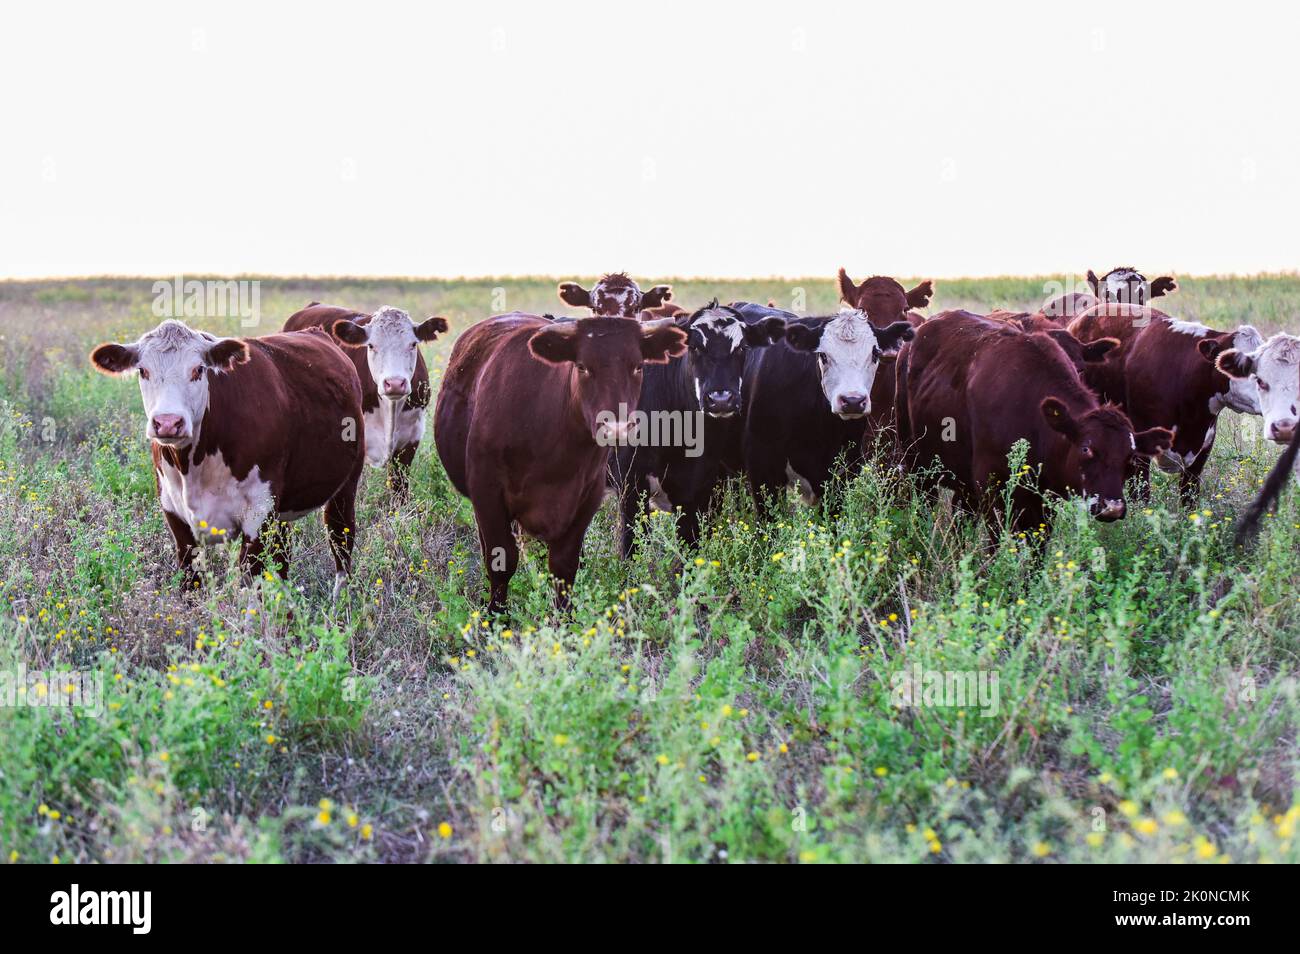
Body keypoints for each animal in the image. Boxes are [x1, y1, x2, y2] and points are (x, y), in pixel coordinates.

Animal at [89, 319, 365, 595]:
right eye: (143, 371)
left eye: (198, 370)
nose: (168, 423)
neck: (193, 467)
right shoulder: (174, 514)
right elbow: (191, 581)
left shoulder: (259, 512)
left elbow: (253, 582)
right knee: (283, 553)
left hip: (345, 486)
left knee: (341, 540)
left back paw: (340, 600)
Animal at [434, 313, 686, 614]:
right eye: (582, 366)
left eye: (638, 366)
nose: (616, 426)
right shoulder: (487, 492)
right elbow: (500, 559)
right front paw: (496, 615)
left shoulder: (587, 498)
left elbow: (564, 567)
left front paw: (565, 617)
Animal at [609, 301, 785, 555]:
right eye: (693, 347)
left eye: (742, 347)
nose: (720, 399)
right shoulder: (630, 485)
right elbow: (632, 548)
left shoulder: (698, 491)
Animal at [897, 310, 1172, 533]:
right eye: (1086, 449)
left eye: (1130, 456)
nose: (1112, 507)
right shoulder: (993, 494)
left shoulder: (1043, 505)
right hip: (917, 467)